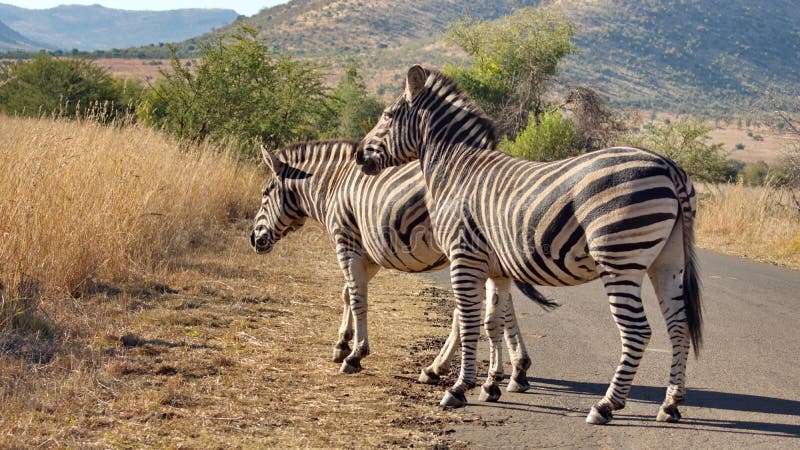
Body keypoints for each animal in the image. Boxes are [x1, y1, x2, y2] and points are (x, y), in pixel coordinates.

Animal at [249, 139, 553, 396]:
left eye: (265, 194)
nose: (253, 239)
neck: (335, 185)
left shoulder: (347, 243)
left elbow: (358, 299)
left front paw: (354, 355)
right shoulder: (369, 254)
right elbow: (348, 294)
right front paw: (342, 343)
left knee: (467, 311)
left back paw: (440, 368)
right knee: (499, 306)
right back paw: (515, 370)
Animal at [355, 65, 703, 425]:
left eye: (387, 115)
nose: (357, 154)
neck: (456, 173)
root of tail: (668, 166)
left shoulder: (464, 257)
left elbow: (469, 321)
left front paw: (459, 389)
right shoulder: (496, 269)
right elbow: (493, 322)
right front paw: (491, 385)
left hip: (619, 258)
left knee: (637, 331)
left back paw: (606, 405)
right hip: (668, 262)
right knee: (678, 325)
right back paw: (670, 404)